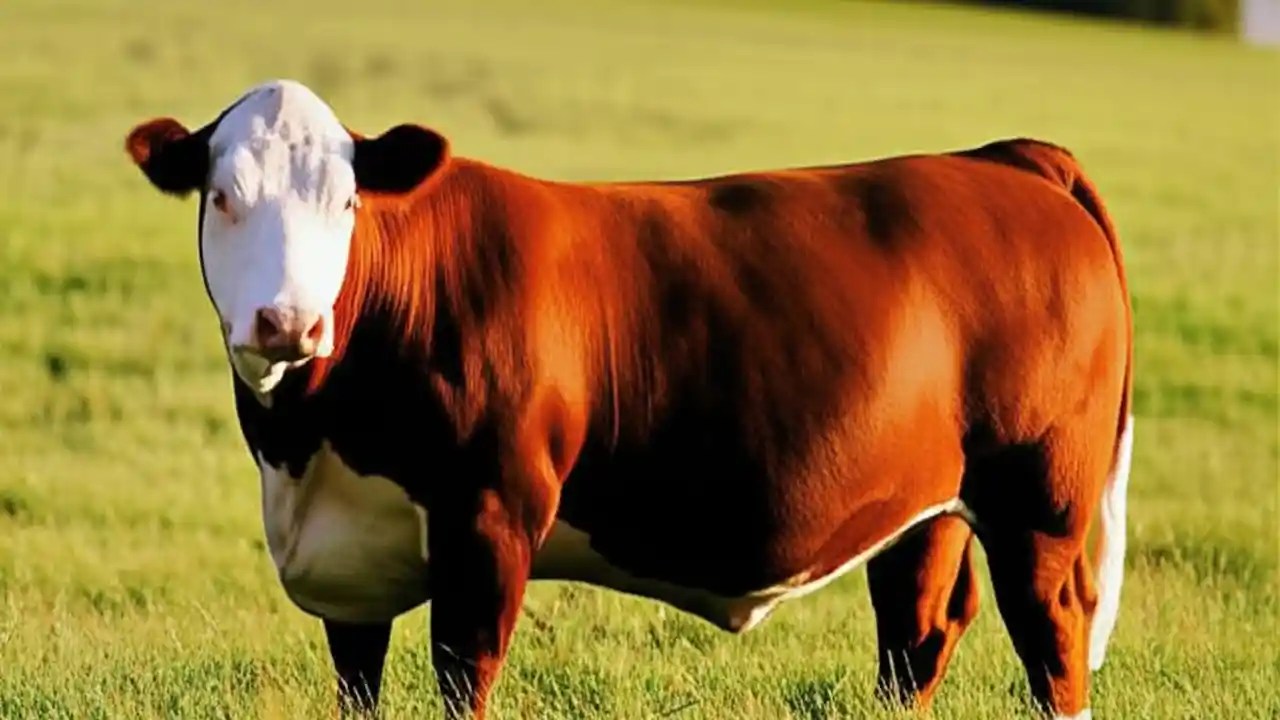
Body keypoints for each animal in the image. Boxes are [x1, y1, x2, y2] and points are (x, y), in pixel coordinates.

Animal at [123, 78, 1133, 720]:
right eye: (222, 196)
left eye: (346, 204)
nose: (288, 320)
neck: (304, 450)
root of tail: (1002, 160)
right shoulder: (351, 566)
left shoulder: (489, 524)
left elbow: (463, 676)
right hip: (927, 505)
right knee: (917, 632)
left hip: (1042, 504)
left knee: (1052, 640)